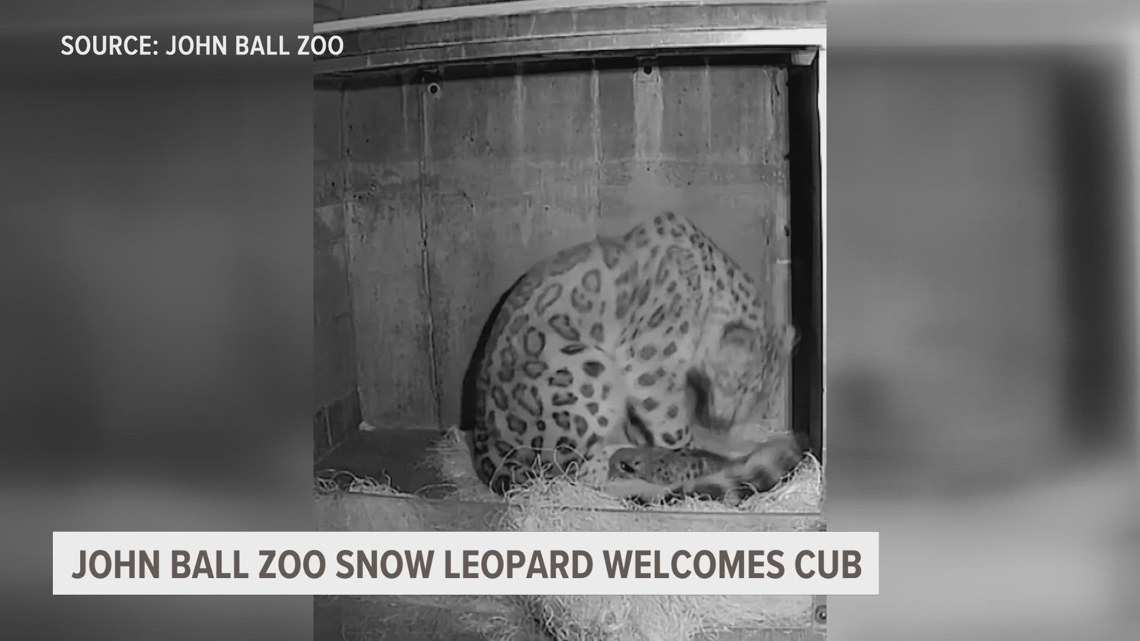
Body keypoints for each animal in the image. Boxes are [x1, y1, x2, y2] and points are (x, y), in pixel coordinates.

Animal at [465, 211, 797, 495]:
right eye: (742, 384)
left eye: (762, 393)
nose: (726, 424)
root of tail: (489, 455)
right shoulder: (652, 361)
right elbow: (672, 424)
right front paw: (683, 457)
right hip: (590, 371)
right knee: (566, 468)